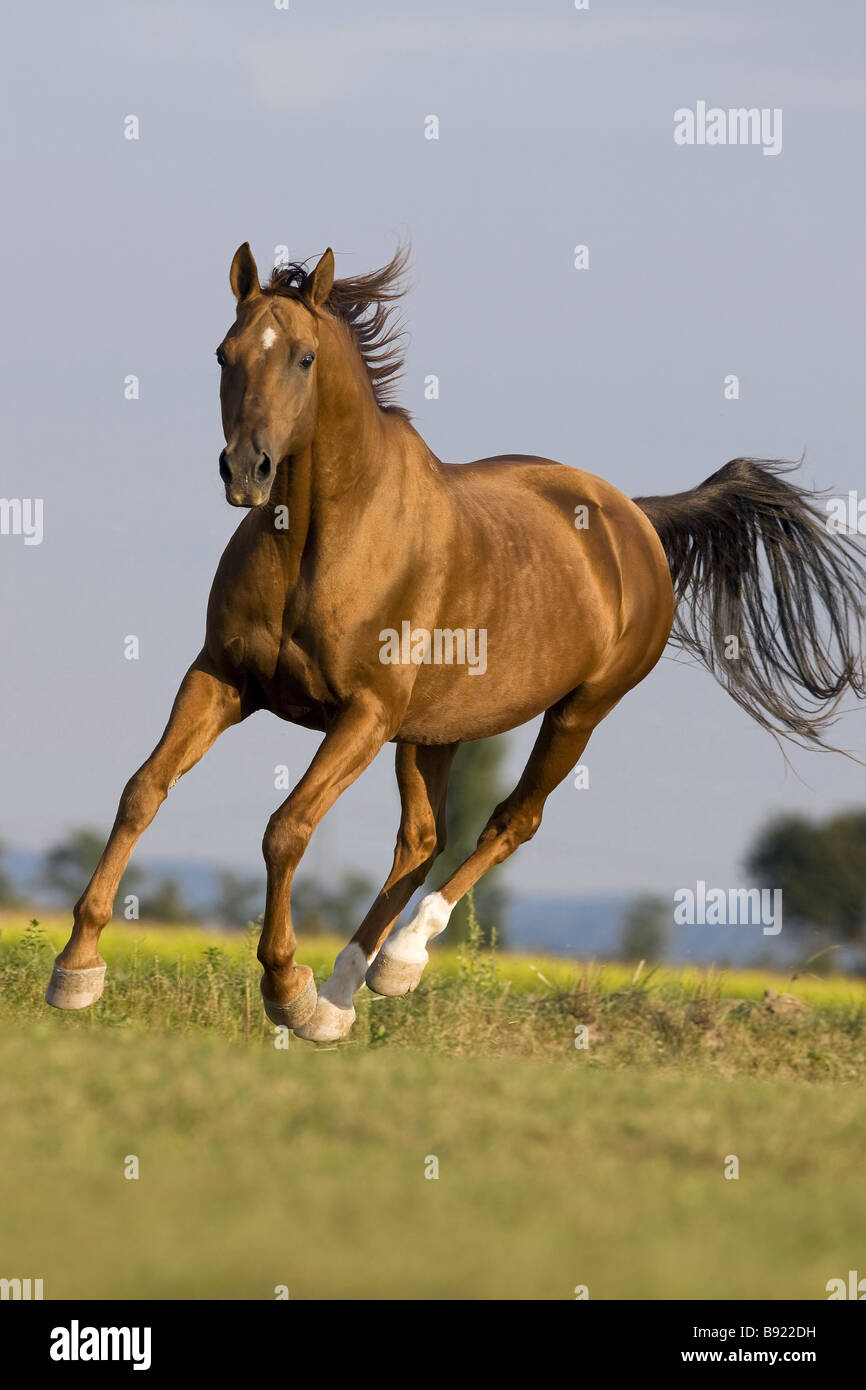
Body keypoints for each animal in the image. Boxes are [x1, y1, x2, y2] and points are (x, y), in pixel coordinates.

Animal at [46, 242, 866, 1040]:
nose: (246, 470)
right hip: (435, 731)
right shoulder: (221, 678)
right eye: (224, 353)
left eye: (304, 357)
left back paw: (394, 966)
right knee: (422, 839)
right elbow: (142, 792)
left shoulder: (365, 713)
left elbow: (288, 829)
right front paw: (77, 971)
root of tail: (635, 518)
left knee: (509, 821)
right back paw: (341, 999)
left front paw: (286, 987)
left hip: (576, 712)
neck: (321, 541)